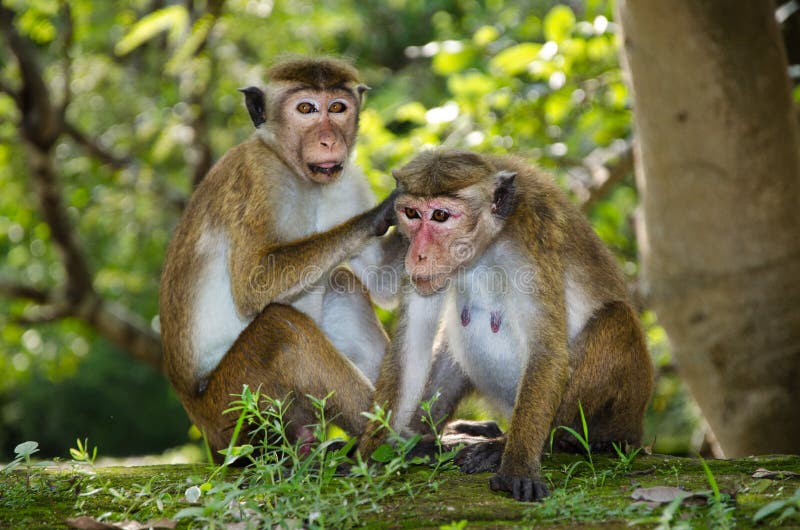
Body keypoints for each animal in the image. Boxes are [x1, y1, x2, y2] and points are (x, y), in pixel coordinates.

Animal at [159, 57, 403, 460]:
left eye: (338, 107)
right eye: (306, 109)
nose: (328, 139)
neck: (300, 176)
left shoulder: (350, 181)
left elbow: (384, 282)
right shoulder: (258, 176)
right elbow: (252, 283)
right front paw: (382, 213)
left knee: (341, 286)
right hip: (234, 412)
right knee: (282, 330)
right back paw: (406, 444)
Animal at [358, 149, 653, 502]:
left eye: (441, 216)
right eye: (412, 214)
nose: (417, 255)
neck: (486, 247)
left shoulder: (530, 240)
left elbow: (547, 351)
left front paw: (517, 465)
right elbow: (411, 350)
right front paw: (368, 456)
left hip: (623, 411)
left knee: (617, 318)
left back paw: (527, 443)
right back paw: (427, 440)